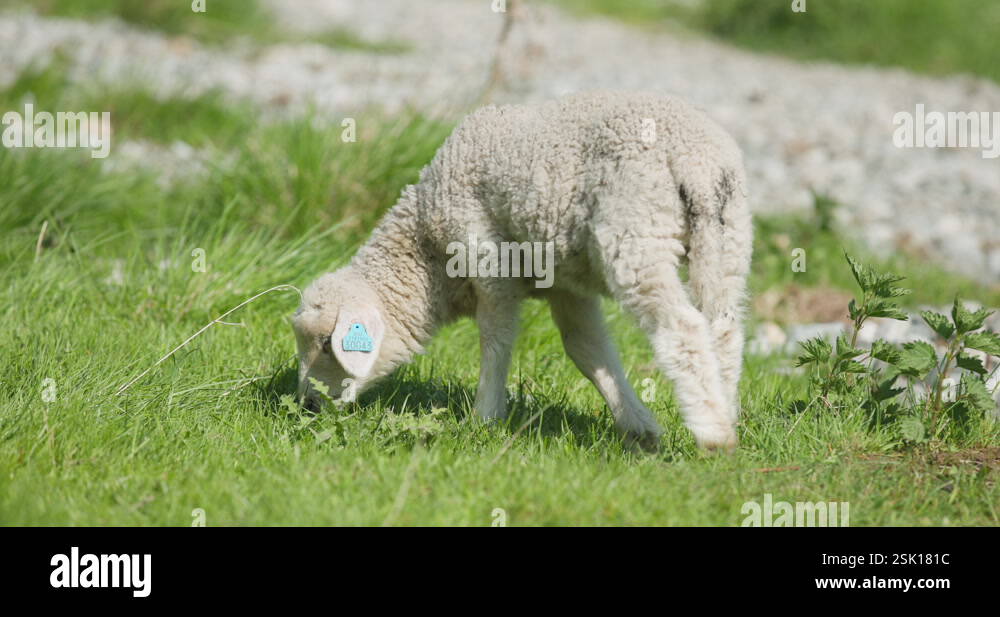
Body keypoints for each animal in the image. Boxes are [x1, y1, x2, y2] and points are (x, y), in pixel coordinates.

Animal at [292, 90, 752, 451]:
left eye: (326, 345)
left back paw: (713, 435)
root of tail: (697, 160)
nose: (306, 406)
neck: (427, 256)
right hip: (727, 239)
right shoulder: (568, 285)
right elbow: (587, 350)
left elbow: (495, 341)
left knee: (682, 326)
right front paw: (637, 426)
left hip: (637, 231)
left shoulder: (487, 259)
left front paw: (484, 418)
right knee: (724, 327)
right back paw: (724, 411)